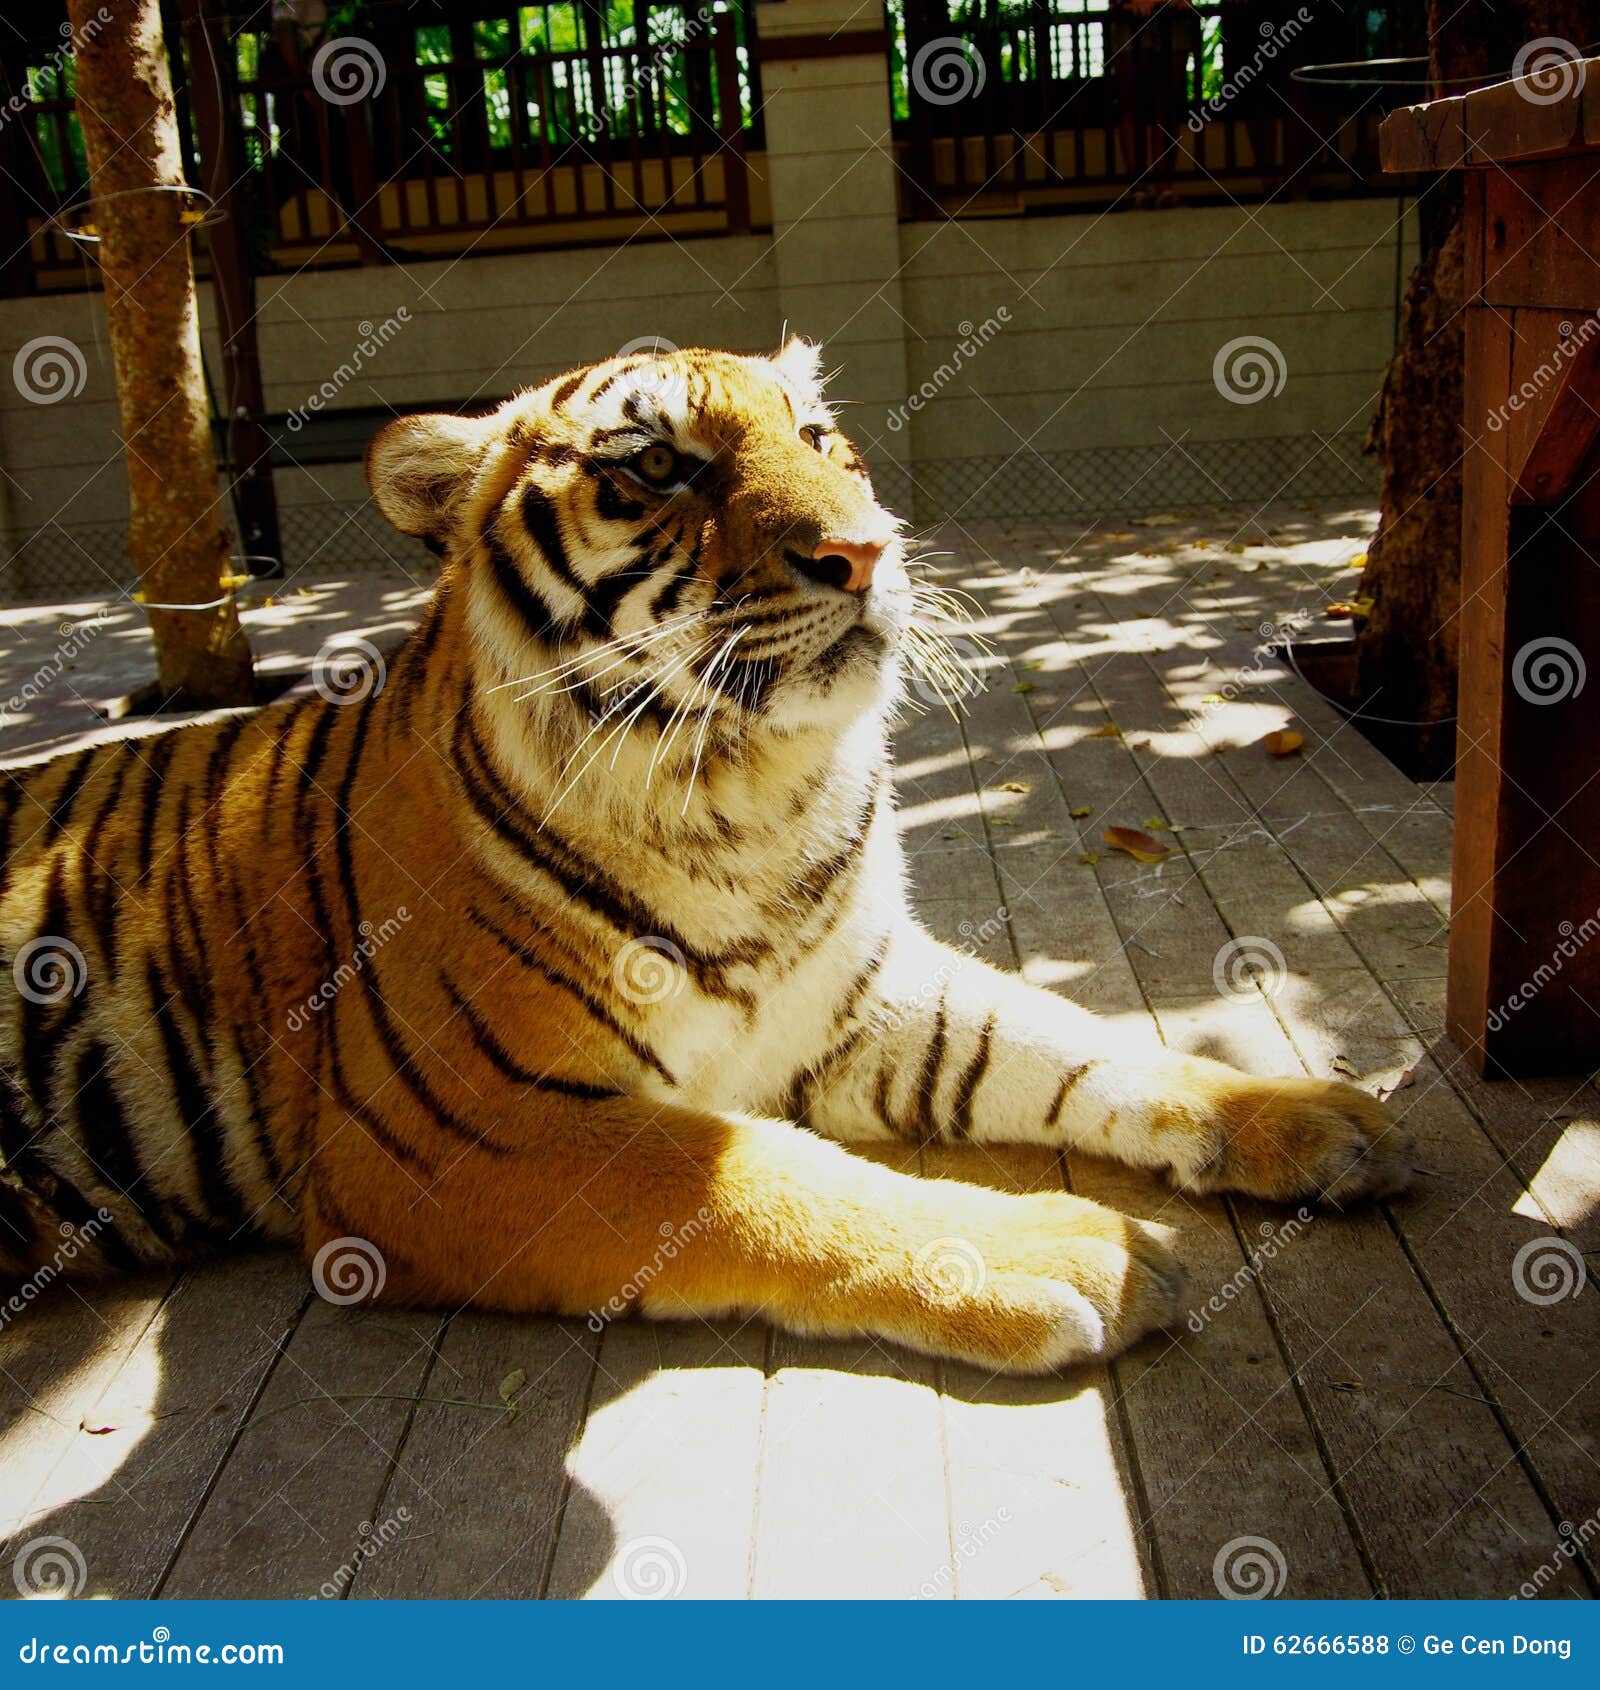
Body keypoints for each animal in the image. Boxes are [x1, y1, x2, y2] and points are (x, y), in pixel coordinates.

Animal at [0, 339, 1412, 1374]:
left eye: (820, 437)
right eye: (660, 465)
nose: (867, 549)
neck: (751, 801)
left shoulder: (856, 997)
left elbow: (1074, 1040)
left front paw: (1312, 1118)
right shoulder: (450, 1132)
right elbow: (757, 1181)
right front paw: (1076, 1256)